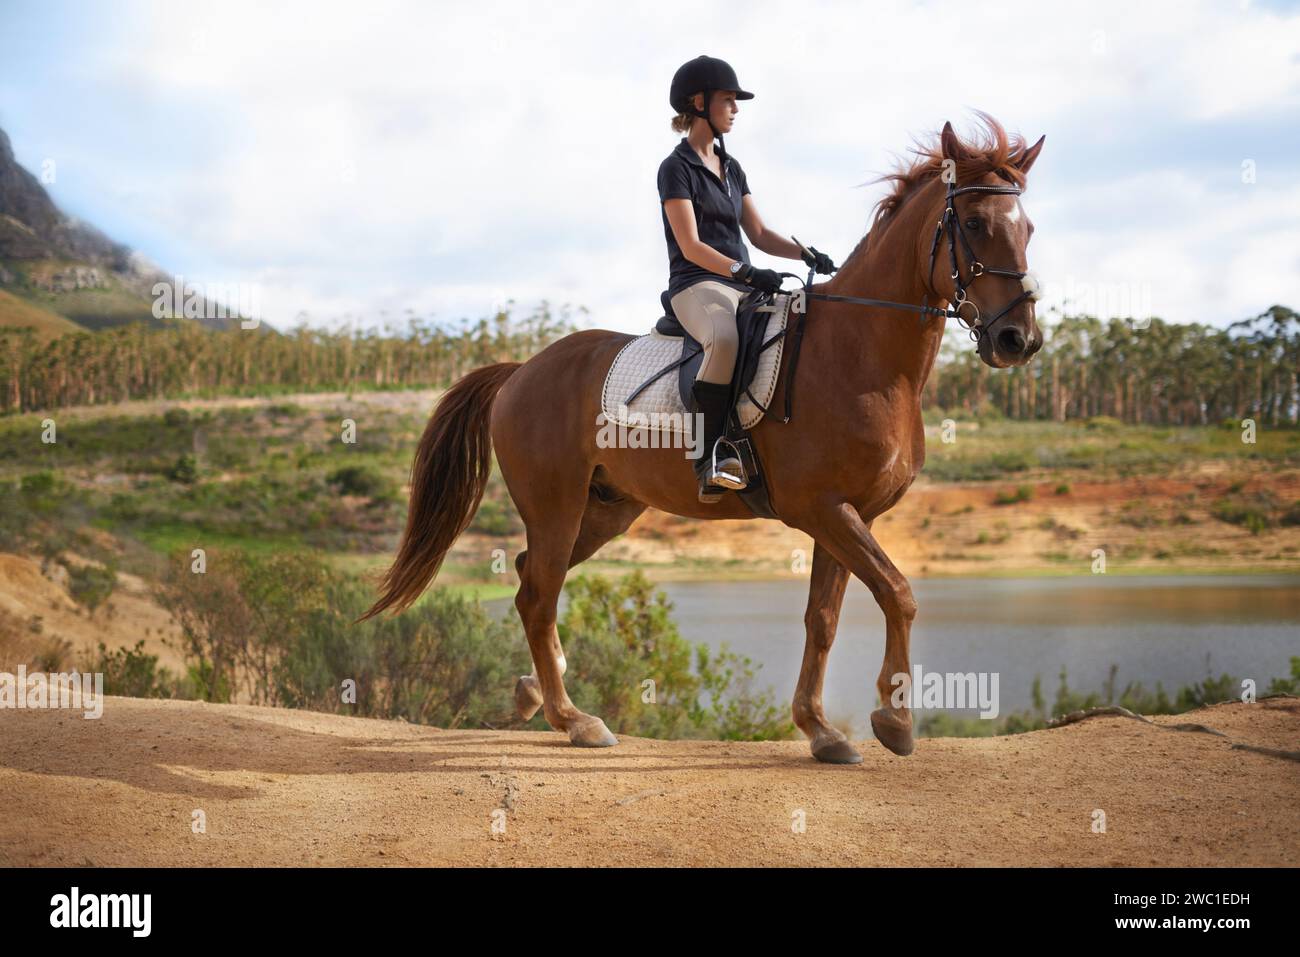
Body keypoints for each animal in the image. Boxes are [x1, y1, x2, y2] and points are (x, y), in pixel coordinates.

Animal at [363, 114, 1045, 763]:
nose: (1018, 339)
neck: (861, 354)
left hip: (607, 510)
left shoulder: (853, 515)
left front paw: (821, 731)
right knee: (538, 592)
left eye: (1030, 228)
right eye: (975, 222)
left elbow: (823, 619)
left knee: (535, 578)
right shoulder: (823, 509)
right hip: (556, 505)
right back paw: (574, 720)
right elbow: (899, 594)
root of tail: (521, 370)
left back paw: (538, 690)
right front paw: (895, 724)